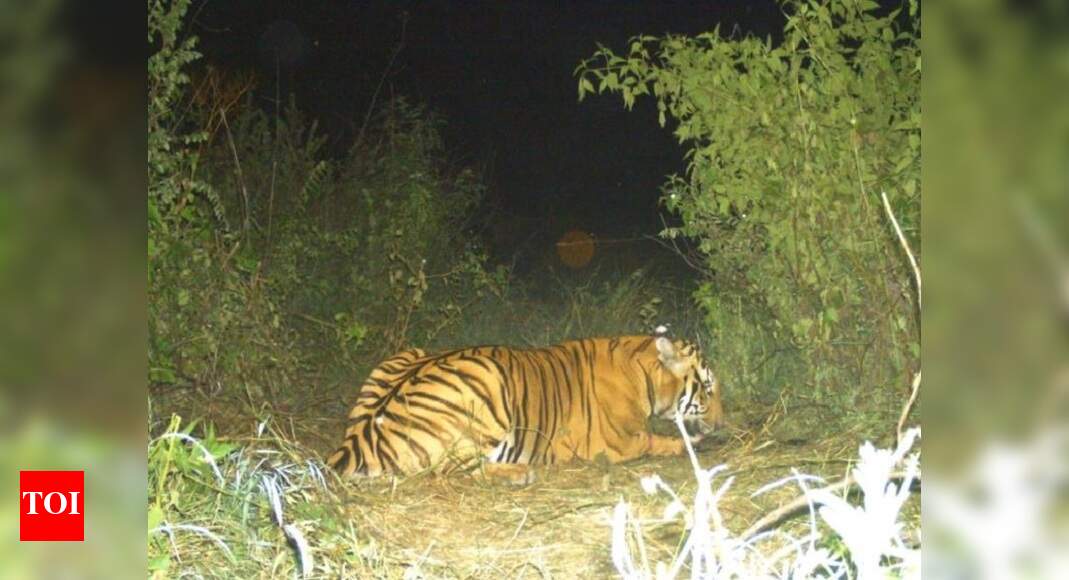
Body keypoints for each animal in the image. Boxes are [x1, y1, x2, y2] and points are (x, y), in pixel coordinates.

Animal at [326, 334, 725, 481]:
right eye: (707, 388)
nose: (722, 423)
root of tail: (357, 440)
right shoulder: (611, 445)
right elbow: (657, 440)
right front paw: (694, 443)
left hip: (405, 354)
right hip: (487, 376)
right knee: (458, 471)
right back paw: (520, 472)